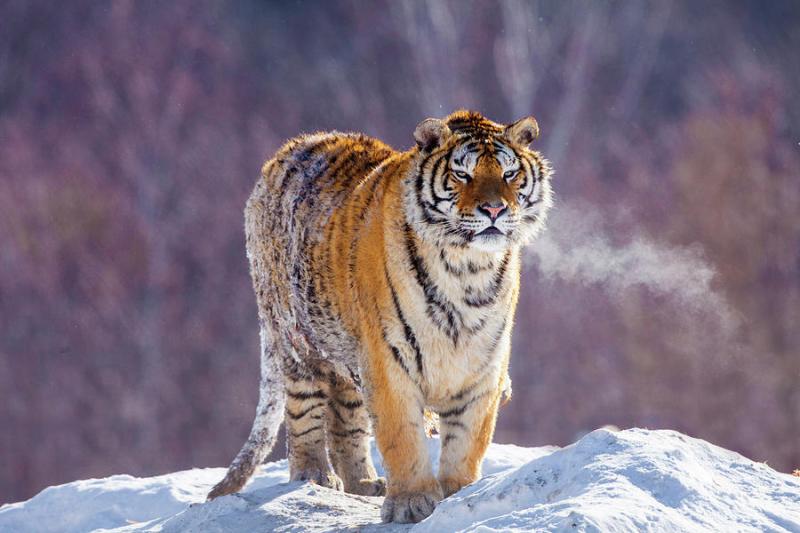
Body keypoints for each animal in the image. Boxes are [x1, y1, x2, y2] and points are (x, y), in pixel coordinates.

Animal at [207, 110, 553, 523]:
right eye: (462, 174)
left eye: (509, 173)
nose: (495, 210)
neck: (467, 270)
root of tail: (285, 152)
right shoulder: (389, 358)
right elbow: (401, 434)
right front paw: (412, 503)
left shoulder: (482, 365)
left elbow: (468, 439)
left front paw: (459, 493)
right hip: (296, 342)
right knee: (304, 413)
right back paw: (315, 477)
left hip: (347, 357)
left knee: (346, 422)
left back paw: (364, 483)